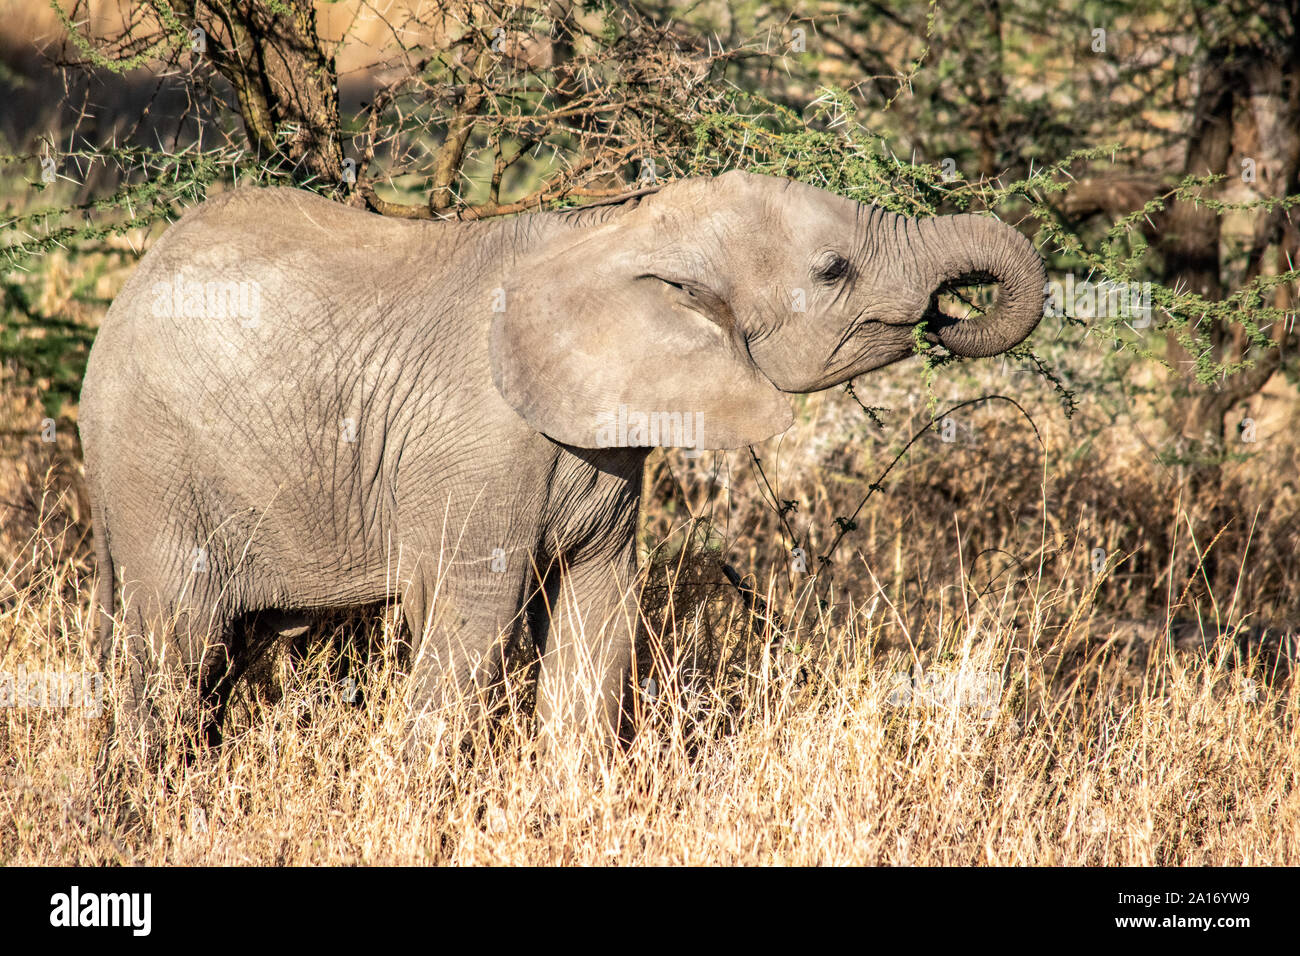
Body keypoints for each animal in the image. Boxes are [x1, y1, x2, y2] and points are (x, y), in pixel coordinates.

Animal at [78, 170, 1045, 761]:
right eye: (834, 268)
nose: (947, 316)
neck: (619, 231)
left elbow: (601, 611)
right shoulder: (474, 447)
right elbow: (471, 624)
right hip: (155, 466)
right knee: (177, 645)